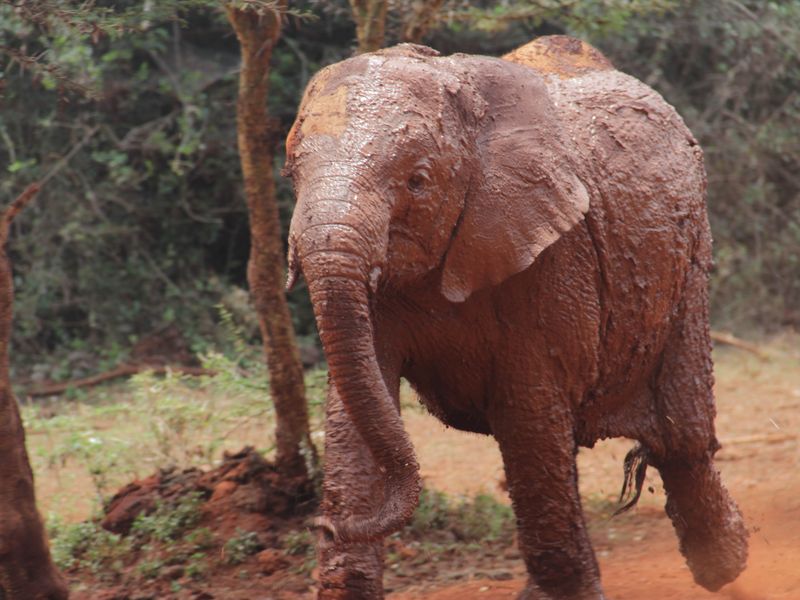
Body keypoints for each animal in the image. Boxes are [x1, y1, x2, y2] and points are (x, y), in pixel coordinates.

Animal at [283, 36, 749, 599]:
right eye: (290, 174)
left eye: (417, 182)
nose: (324, 524)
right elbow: (354, 413)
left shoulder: (553, 258)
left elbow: (528, 412)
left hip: (690, 259)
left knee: (682, 438)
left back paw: (728, 562)